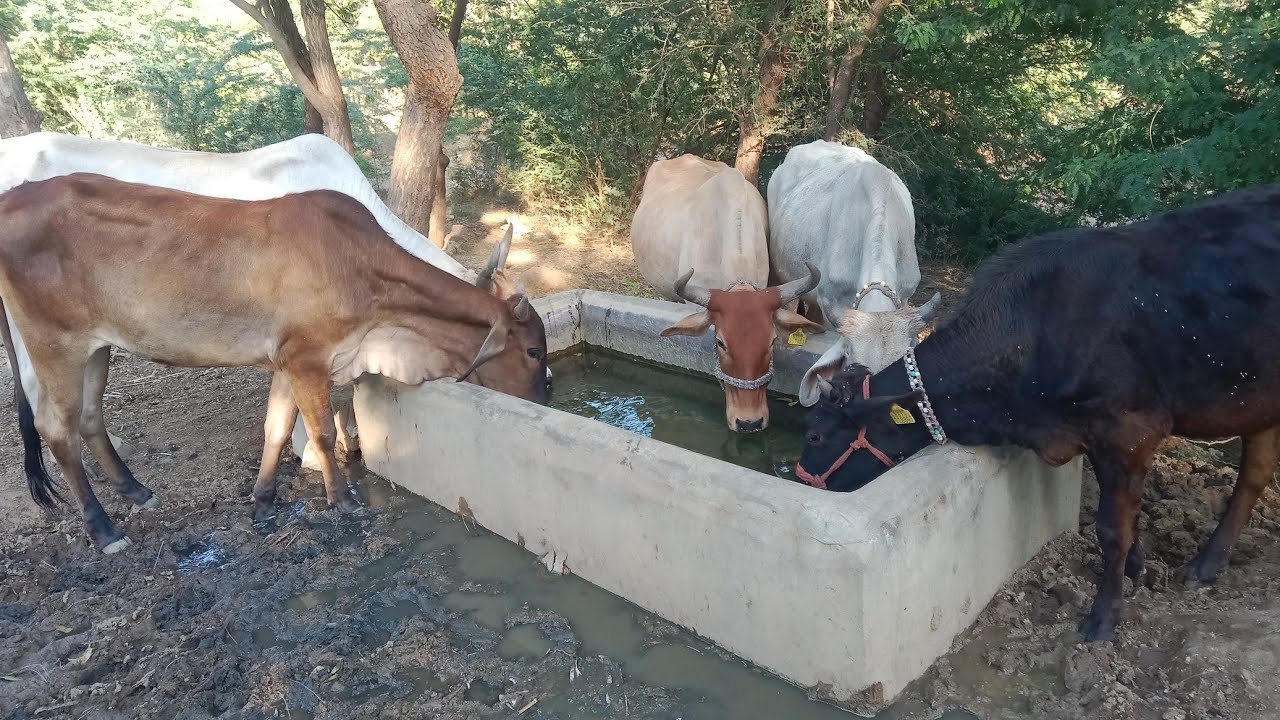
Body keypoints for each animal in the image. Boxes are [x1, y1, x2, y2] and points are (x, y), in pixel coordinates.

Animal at [0, 174, 550, 554]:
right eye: (532, 351)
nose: (545, 402)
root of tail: (10, 199)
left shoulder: (286, 362)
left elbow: (277, 427)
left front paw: (263, 500)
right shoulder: (308, 360)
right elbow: (322, 433)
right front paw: (343, 500)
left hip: (97, 348)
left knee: (91, 418)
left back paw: (137, 490)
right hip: (55, 344)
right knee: (57, 429)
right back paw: (103, 528)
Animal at [793, 183, 1280, 642]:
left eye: (815, 435)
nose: (799, 479)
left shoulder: (1128, 432)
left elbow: (1113, 529)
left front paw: (1103, 618)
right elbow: (1131, 516)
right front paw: (1136, 569)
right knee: (1254, 475)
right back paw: (1208, 564)